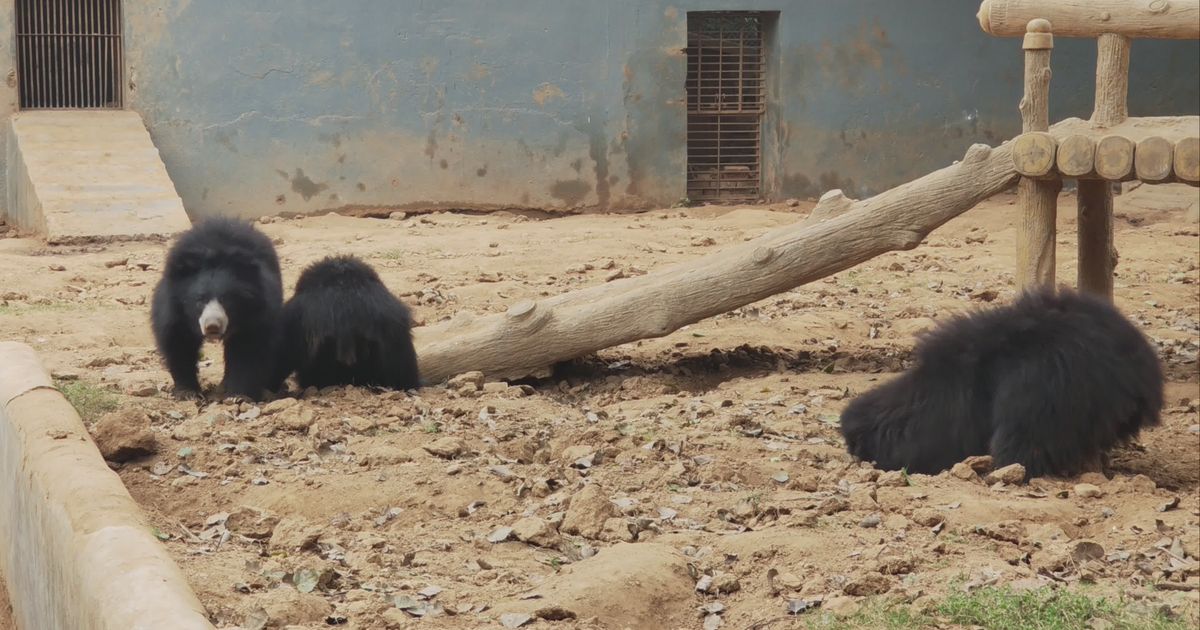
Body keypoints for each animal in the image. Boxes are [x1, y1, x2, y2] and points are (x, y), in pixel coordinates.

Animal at [150, 217, 285, 401]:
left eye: (227, 300)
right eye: (200, 300)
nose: (212, 326)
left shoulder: (256, 313)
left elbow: (247, 349)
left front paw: (238, 395)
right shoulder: (173, 311)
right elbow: (178, 343)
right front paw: (188, 392)